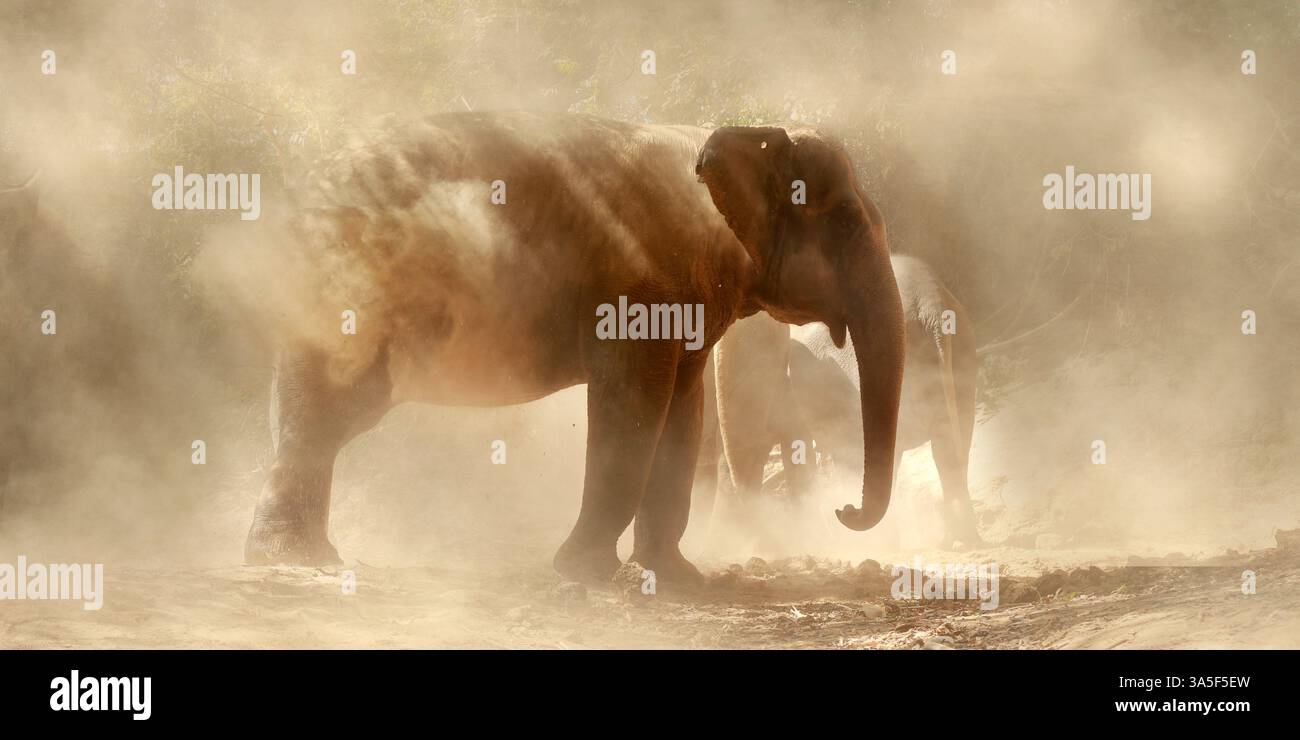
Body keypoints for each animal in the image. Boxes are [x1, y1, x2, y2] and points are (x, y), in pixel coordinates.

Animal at [236, 112, 906, 587]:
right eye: (844, 222)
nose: (844, 511)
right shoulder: (636, 286)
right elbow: (633, 406)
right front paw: (586, 572)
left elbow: (682, 411)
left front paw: (677, 578)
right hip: (346, 289)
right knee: (327, 413)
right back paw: (289, 559)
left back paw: (308, 554)